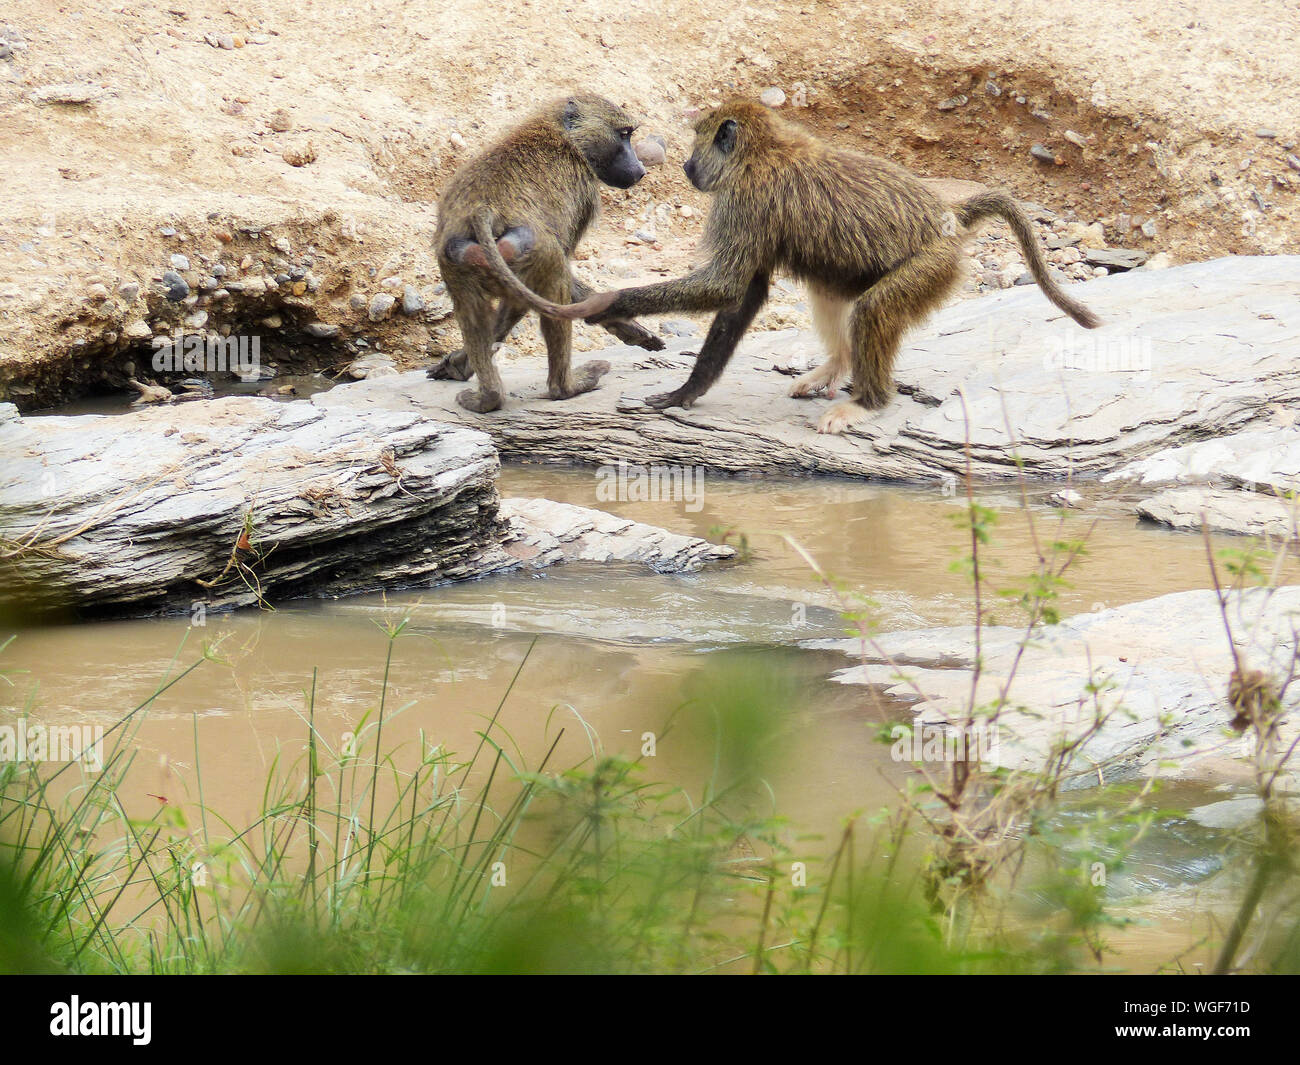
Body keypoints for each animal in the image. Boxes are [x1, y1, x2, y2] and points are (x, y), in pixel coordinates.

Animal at [429, 92, 664, 414]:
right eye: (624, 135)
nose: (640, 170)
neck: (563, 136)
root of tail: (484, 211)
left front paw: (457, 365)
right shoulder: (584, 193)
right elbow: (561, 272)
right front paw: (629, 328)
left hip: (457, 259)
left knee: (474, 309)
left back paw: (487, 397)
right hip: (531, 253)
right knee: (554, 285)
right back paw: (569, 386)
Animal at [551, 98, 1101, 435]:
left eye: (698, 143)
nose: (686, 166)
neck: (763, 149)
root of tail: (947, 216)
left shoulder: (743, 202)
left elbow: (728, 287)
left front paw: (608, 304)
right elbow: (744, 295)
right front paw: (688, 390)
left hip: (933, 265)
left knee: (875, 309)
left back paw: (867, 404)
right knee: (830, 290)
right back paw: (837, 365)